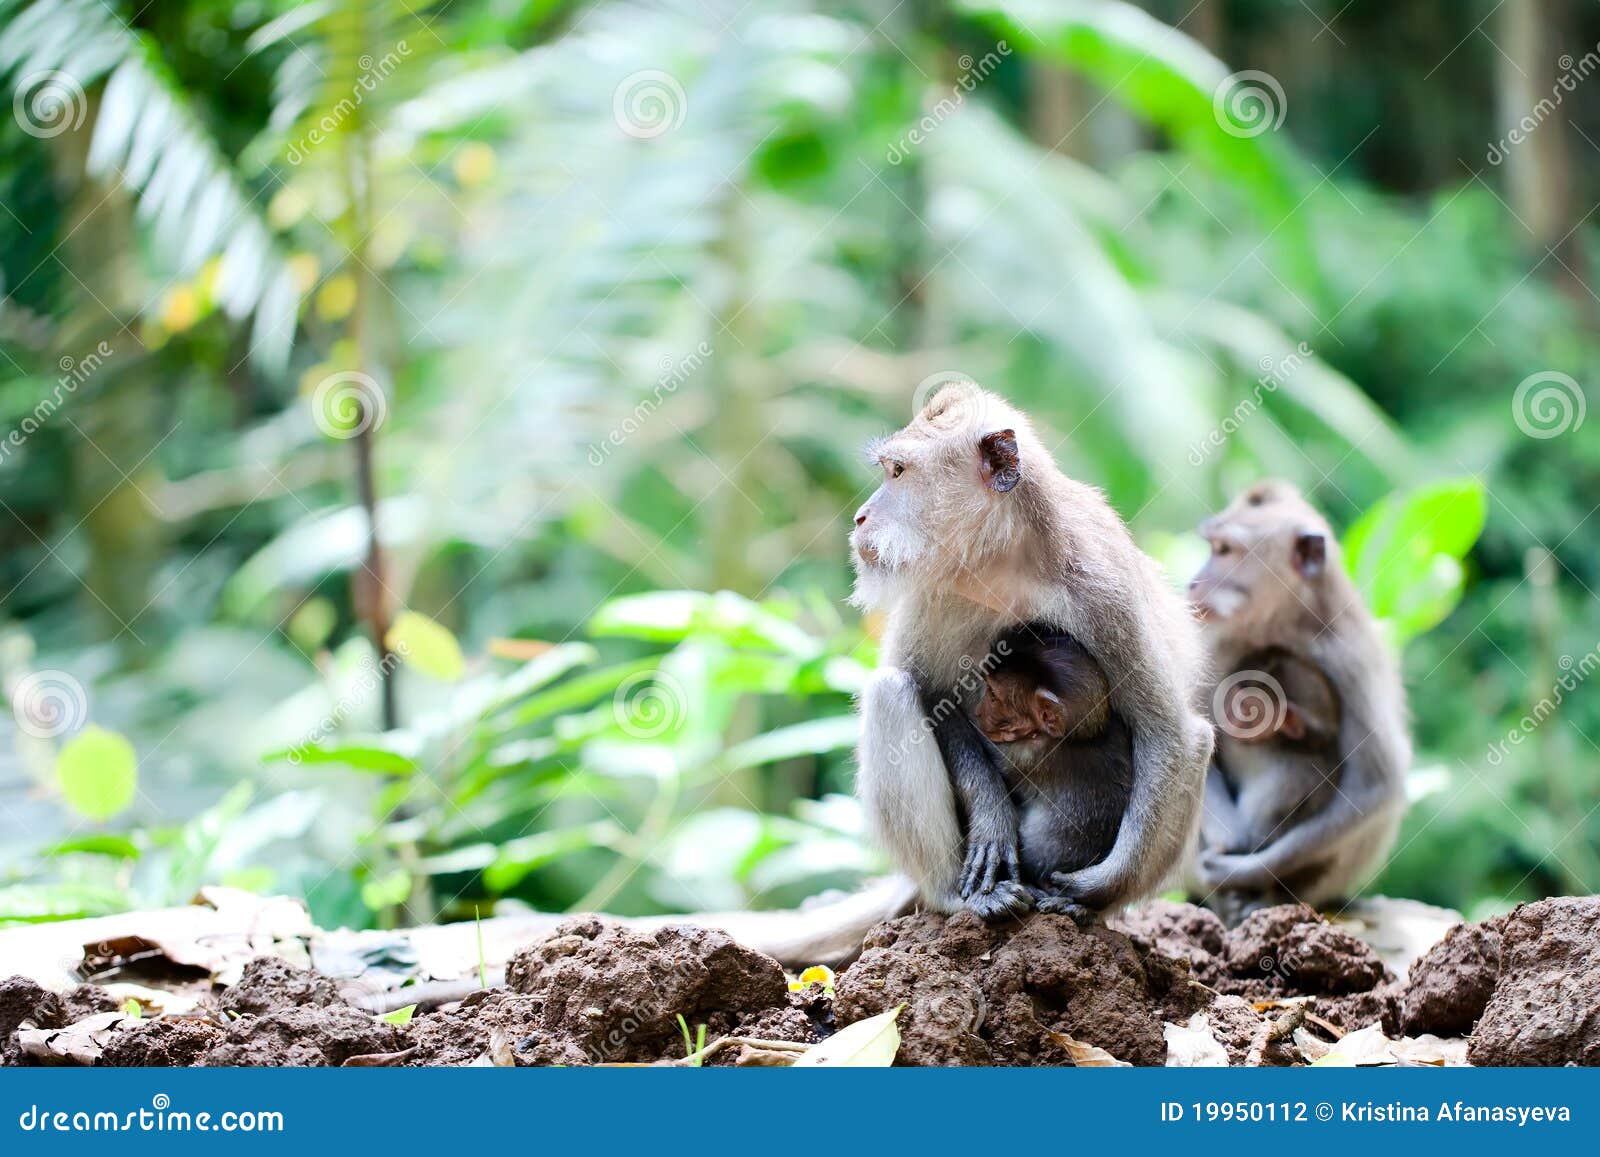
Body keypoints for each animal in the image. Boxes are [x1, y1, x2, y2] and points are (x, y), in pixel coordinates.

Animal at [850, 381, 1214, 924]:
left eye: (897, 472)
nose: (861, 516)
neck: (1007, 564)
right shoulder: (935, 589)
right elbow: (931, 696)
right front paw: (993, 817)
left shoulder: (1105, 589)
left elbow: (1170, 734)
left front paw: (1097, 886)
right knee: (891, 693)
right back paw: (952, 895)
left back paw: (1091, 909)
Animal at [1187, 480, 1410, 924]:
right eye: (1213, 547)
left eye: (1224, 550)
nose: (1193, 582)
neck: (1283, 620)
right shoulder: (1216, 641)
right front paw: (1230, 842)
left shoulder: (1351, 657)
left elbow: (1376, 785)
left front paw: (1242, 869)